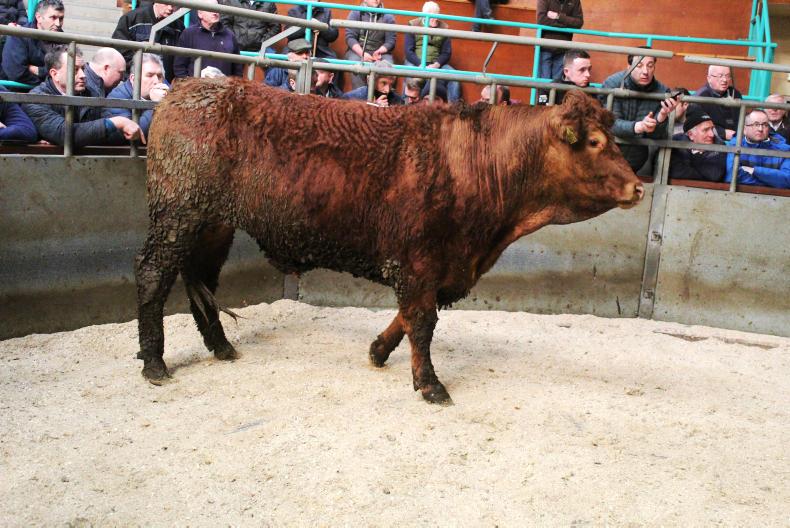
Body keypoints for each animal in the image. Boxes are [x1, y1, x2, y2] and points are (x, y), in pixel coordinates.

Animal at [136, 78, 644, 404]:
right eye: (595, 142)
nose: (638, 187)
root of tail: (182, 90)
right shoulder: (417, 261)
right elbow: (422, 321)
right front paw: (431, 384)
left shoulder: (436, 267)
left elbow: (410, 316)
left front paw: (378, 351)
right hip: (178, 216)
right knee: (153, 276)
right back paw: (155, 363)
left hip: (213, 225)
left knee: (200, 279)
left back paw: (220, 347)